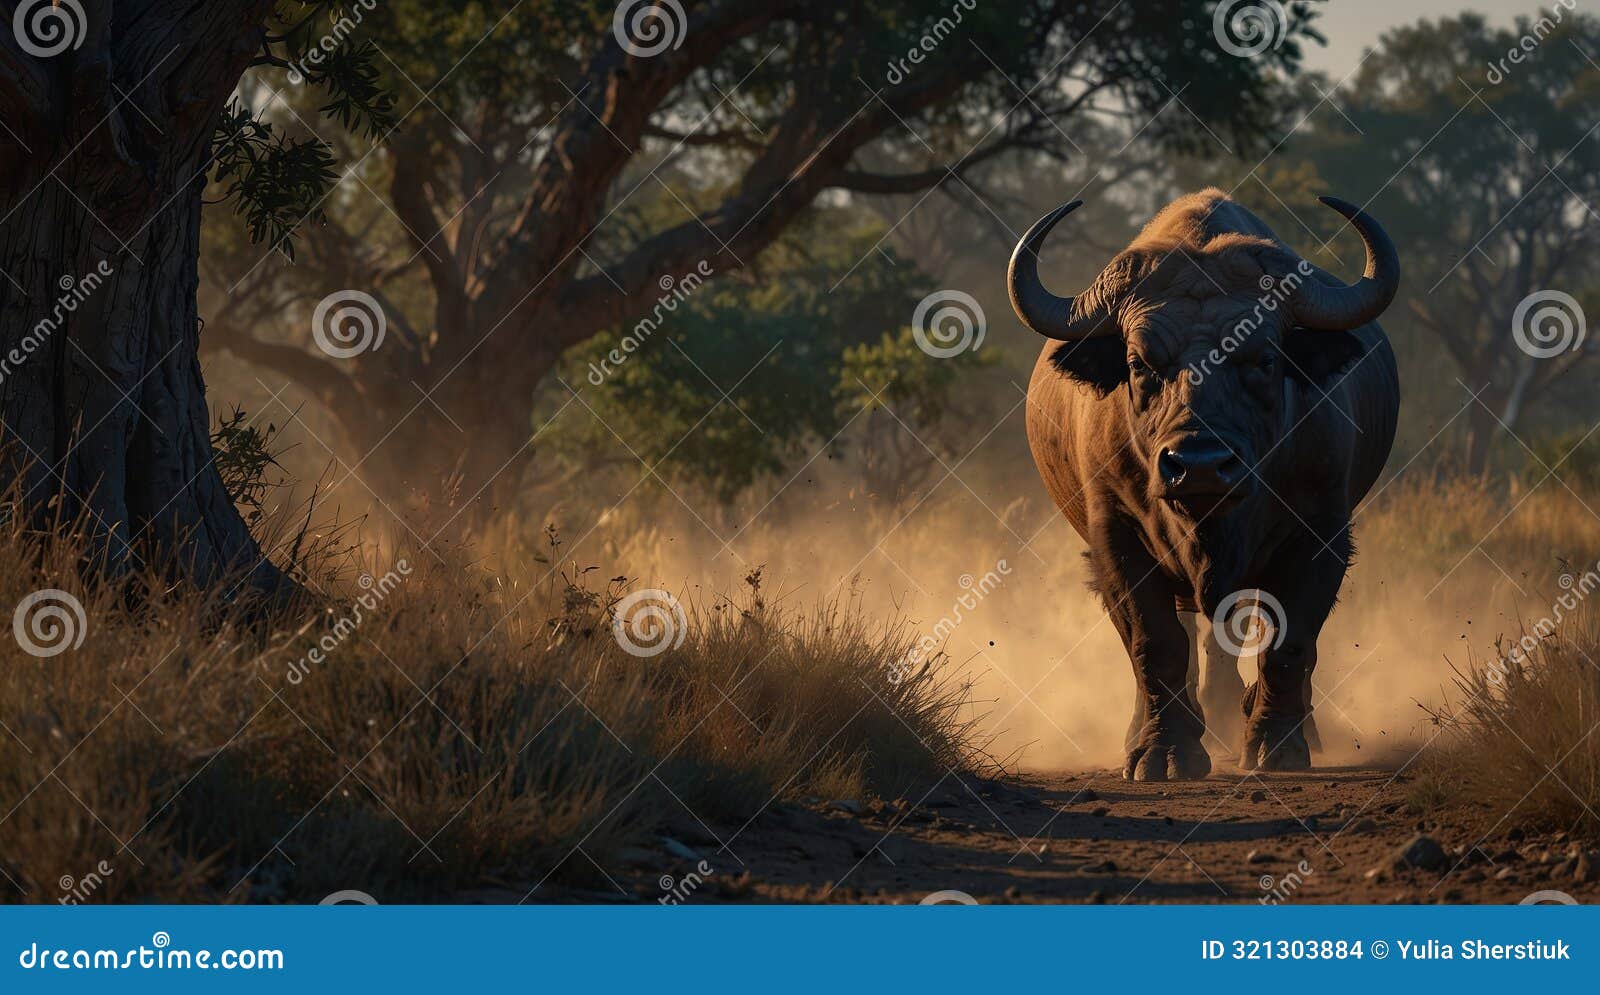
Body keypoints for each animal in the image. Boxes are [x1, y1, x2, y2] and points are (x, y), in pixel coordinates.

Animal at [1010, 189, 1400, 779]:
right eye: (1139, 364)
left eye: (1264, 359)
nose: (1198, 465)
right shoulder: (1115, 539)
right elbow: (1155, 643)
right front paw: (1164, 751)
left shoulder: (1320, 535)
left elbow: (1289, 643)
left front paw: (1277, 745)